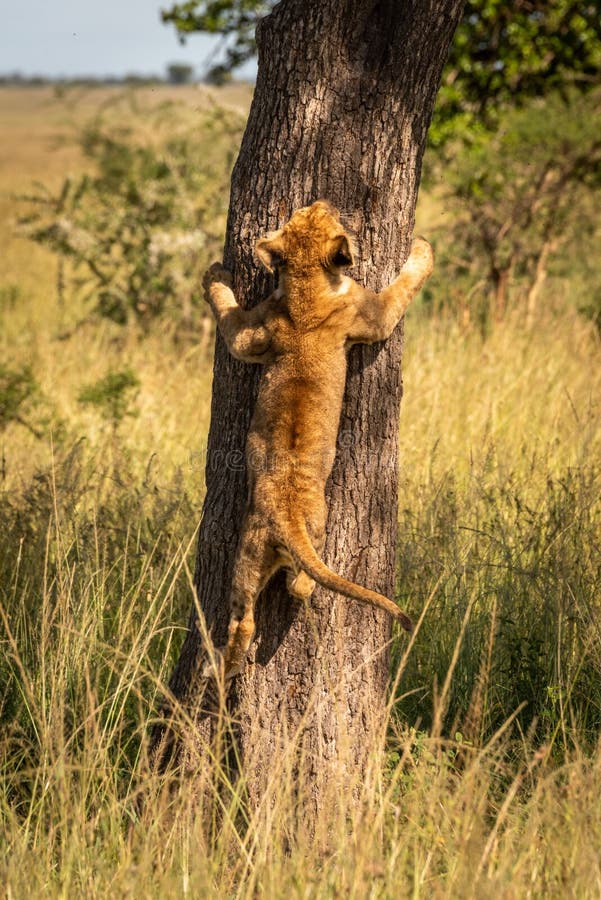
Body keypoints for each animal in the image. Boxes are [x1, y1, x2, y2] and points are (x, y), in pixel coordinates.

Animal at [203, 200, 434, 678]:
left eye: (304, 215)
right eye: (317, 216)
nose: (322, 201)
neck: (307, 286)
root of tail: (287, 517)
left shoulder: (255, 333)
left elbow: (233, 323)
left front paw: (213, 272)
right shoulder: (372, 315)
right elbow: (401, 288)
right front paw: (423, 248)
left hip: (247, 555)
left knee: (243, 617)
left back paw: (225, 669)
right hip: (317, 527)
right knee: (302, 584)